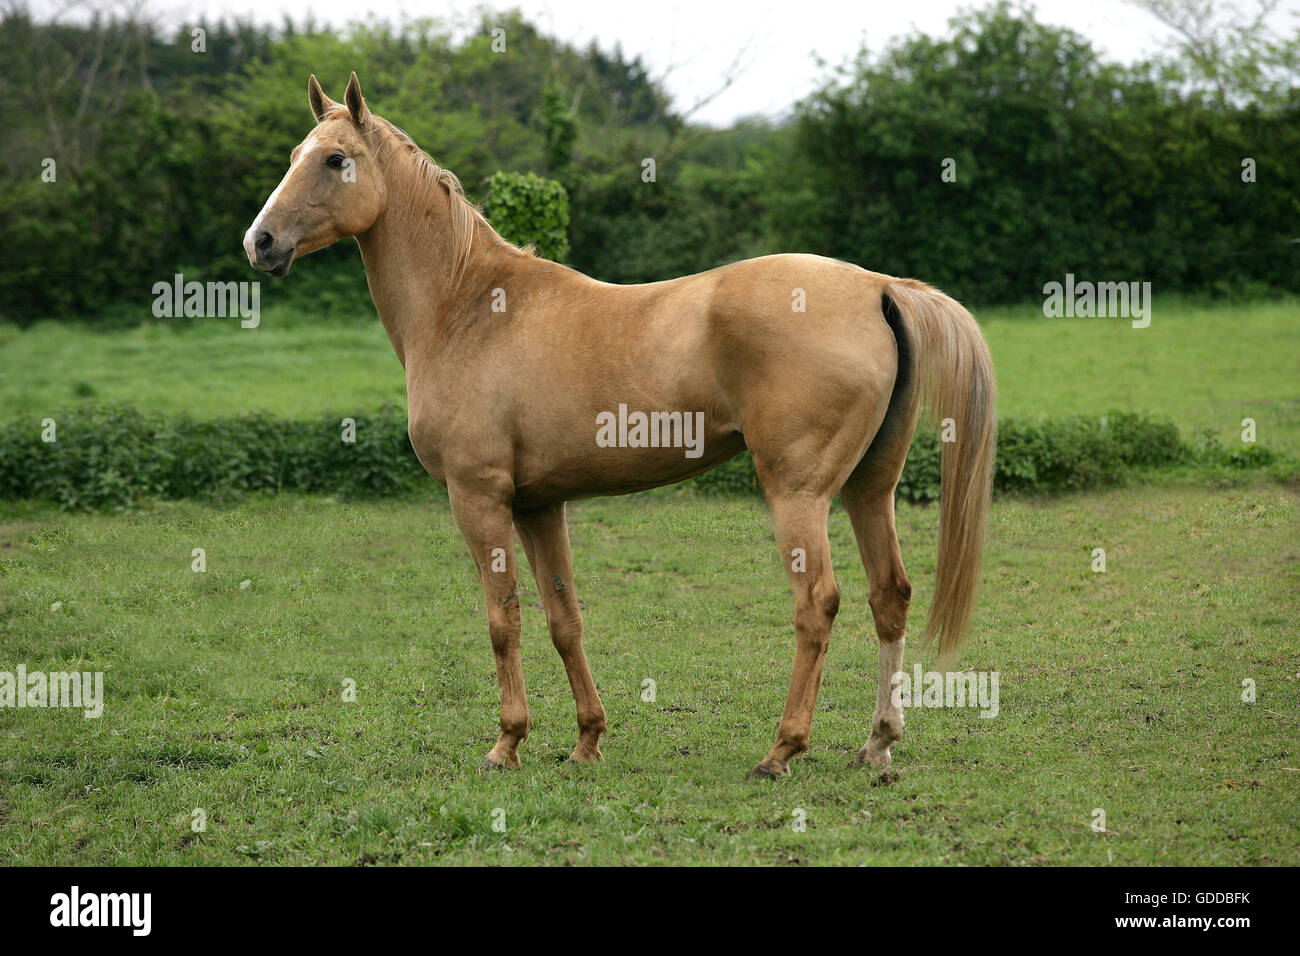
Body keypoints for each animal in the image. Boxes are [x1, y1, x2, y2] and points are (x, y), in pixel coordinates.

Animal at [243, 73, 996, 779]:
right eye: (294, 155)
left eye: (336, 159)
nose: (261, 241)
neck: (470, 307)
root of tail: (878, 287)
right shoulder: (540, 505)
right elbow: (564, 620)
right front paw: (586, 742)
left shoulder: (478, 498)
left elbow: (502, 619)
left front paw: (506, 744)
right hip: (870, 488)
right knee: (889, 595)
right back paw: (878, 743)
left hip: (798, 495)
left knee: (818, 605)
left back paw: (781, 750)